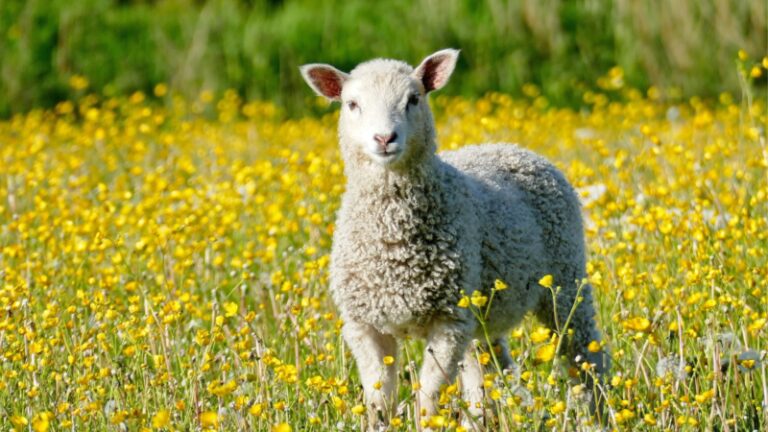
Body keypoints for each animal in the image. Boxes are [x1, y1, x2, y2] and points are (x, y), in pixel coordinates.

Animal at [300, 49, 609, 429]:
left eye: (413, 99)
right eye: (351, 104)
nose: (384, 139)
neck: (393, 244)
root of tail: (513, 148)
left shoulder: (448, 322)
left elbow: (429, 399)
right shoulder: (365, 325)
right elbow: (378, 401)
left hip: (566, 279)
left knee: (586, 353)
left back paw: (600, 414)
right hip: (484, 313)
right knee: (489, 369)